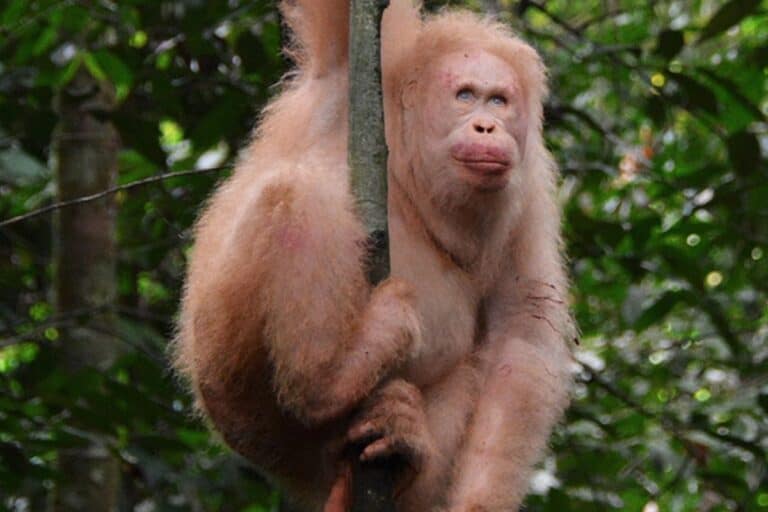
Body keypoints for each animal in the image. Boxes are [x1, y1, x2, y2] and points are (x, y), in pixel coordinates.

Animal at [173, 1, 574, 511]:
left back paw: (404, 448)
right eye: (466, 96)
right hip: (233, 378)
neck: (406, 167)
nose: (488, 127)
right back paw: (329, 380)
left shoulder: (530, 184)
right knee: (297, 194)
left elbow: (521, 332)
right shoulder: (361, 71)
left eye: (500, 101)